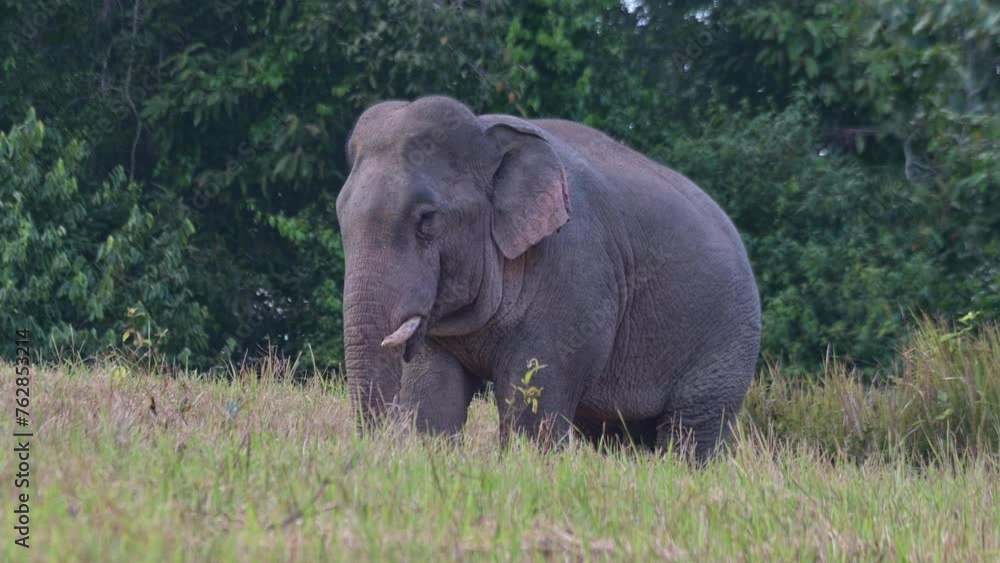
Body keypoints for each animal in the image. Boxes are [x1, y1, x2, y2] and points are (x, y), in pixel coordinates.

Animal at [337, 96, 761, 460]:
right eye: (340, 216)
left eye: (426, 220)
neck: (487, 131)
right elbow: (432, 390)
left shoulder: (573, 275)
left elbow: (533, 394)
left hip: (727, 345)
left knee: (692, 434)